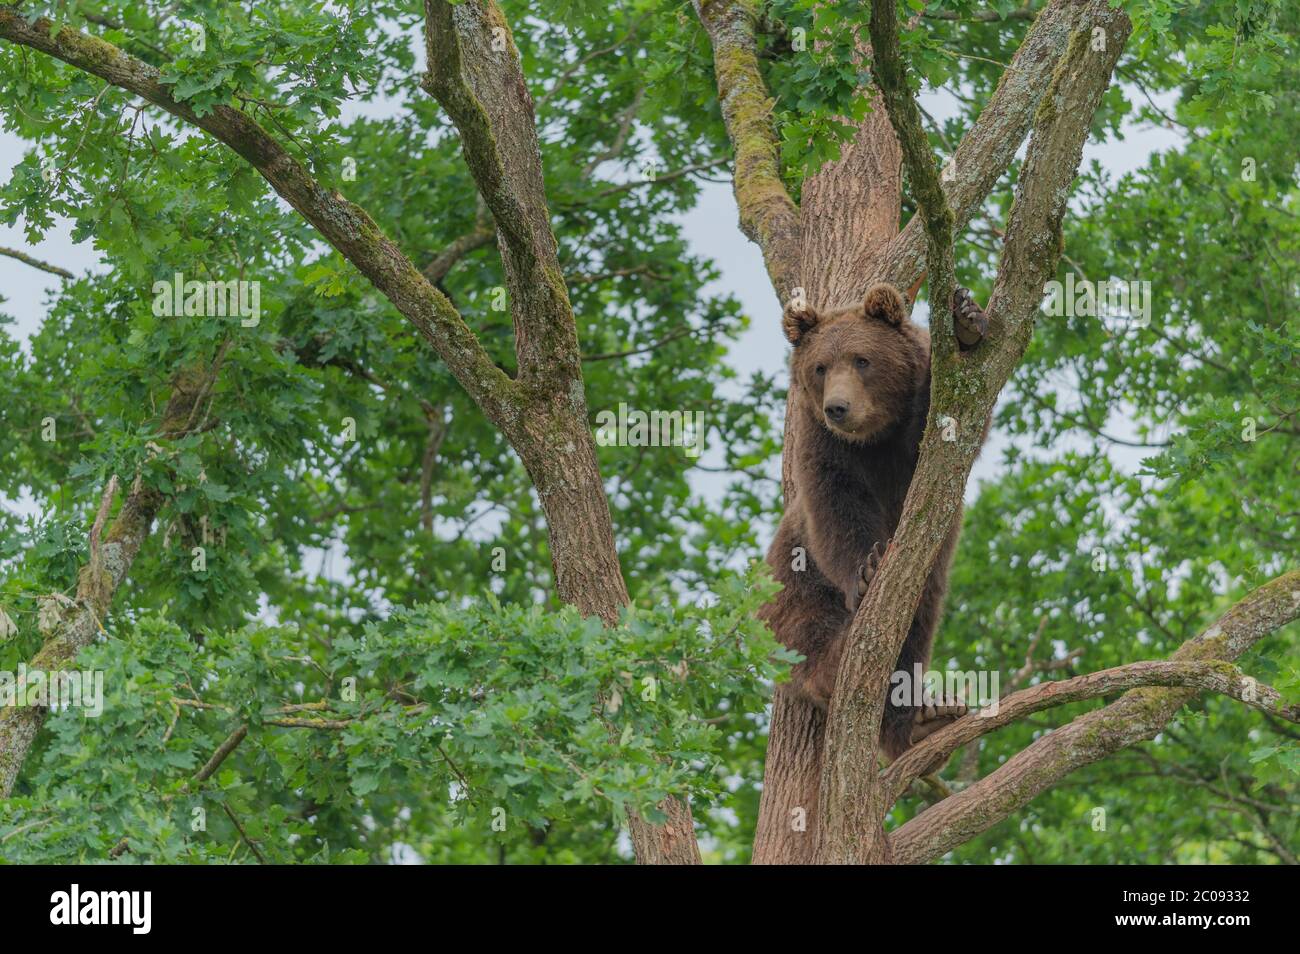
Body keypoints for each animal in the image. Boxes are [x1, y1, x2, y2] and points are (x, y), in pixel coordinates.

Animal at [760, 282, 989, 760]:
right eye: (821, 367)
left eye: (862, 360)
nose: (838, 408)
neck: (874, 437)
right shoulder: (824, 447)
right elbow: (836, 508)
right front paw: (865, 571)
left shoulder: (910, 442)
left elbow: (950, 421)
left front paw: (965, 320)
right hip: (789, 593)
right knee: (807, 639)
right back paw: (839, 661)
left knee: (915, 635)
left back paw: (924, 718)